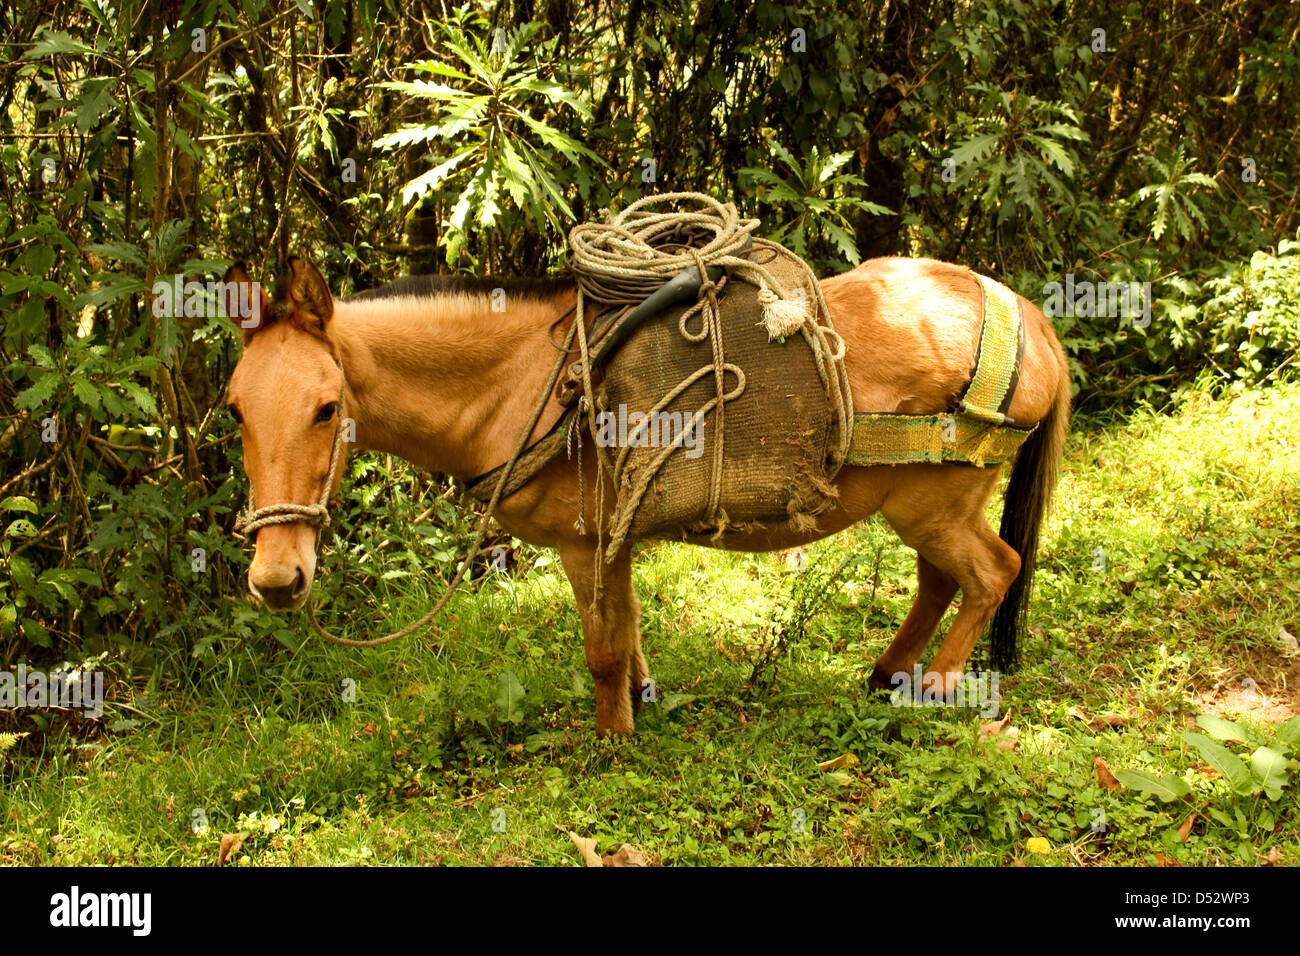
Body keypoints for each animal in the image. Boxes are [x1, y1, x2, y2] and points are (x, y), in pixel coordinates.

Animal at [222, 254, 1070, 736]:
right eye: (235, 409)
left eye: (325, 408)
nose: (277, 579)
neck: (521, 381)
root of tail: (1028, 315)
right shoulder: (616, 538)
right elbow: (627, 630)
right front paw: (642, 700)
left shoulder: (582, 543)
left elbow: (602, 647)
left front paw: (613, 738)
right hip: (925, 504)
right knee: (941, 580)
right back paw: (891, 670)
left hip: (936, 500)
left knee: (992, 572)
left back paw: (935, 687)